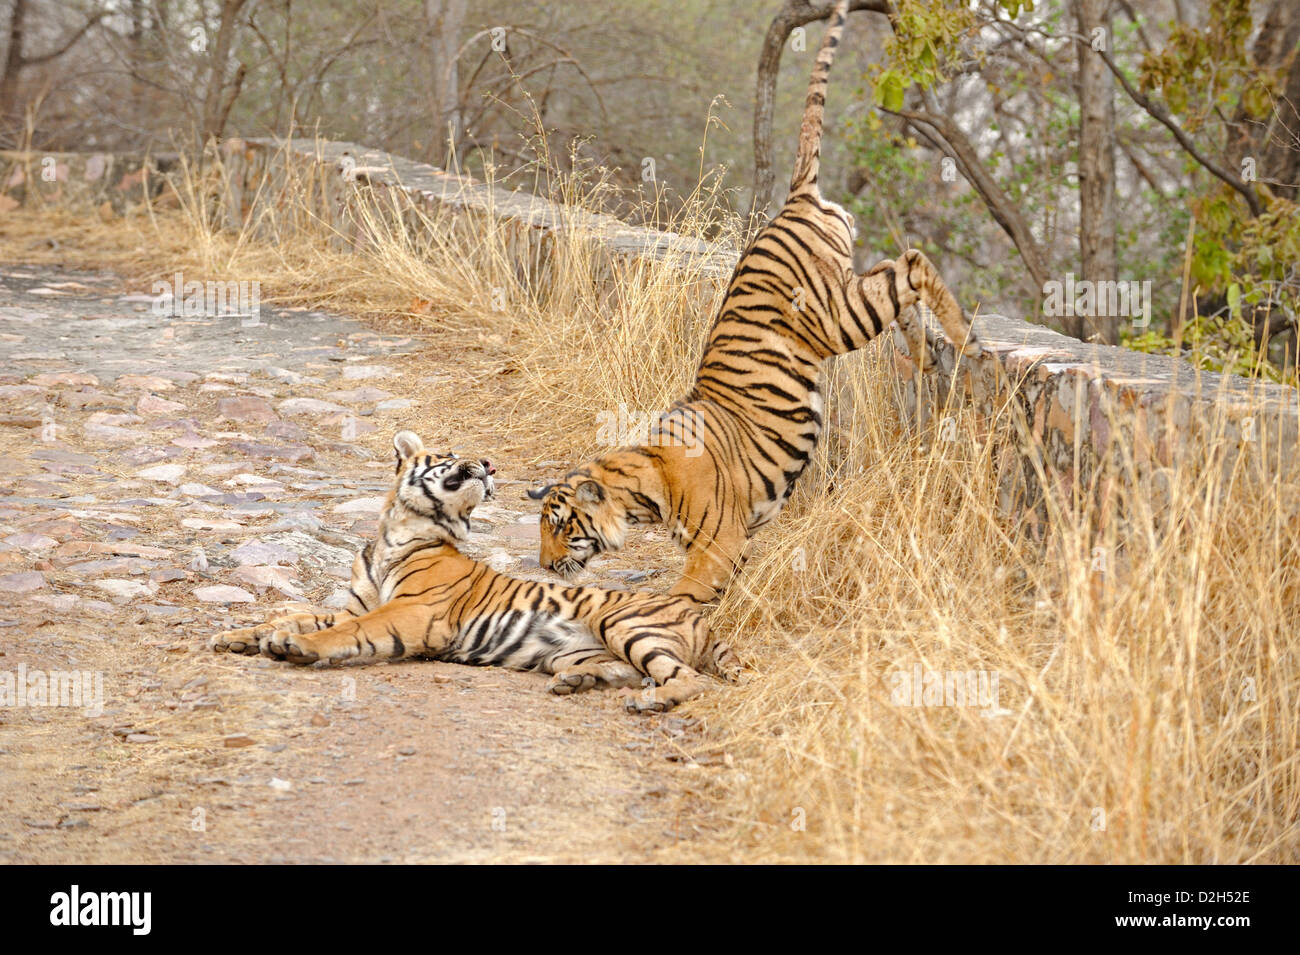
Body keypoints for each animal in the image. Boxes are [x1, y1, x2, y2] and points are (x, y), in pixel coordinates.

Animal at [209, 430, 740, 712]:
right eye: (446, 454)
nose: (487, 463)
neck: (397, 532)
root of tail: (704, 621)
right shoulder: (358, 604)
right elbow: (297, 616)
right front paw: (241, 636)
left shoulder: (411, 611)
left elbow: (345, 632)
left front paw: (295, 647)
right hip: (573, 652)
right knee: (627, 670)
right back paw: (578, 683)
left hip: (624, 624)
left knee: (691, 680)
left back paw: (650, 702)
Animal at [529, 0, 982, 603]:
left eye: (560, 527)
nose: (542, 564)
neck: (645, 488)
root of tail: (794, 200)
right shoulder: (731, 545)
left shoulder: (714, 547)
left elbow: (680, 599)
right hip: (844, 297)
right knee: (892, 274)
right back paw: (926, 354)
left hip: (834, 319)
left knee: (909, 262)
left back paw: (962, 337)